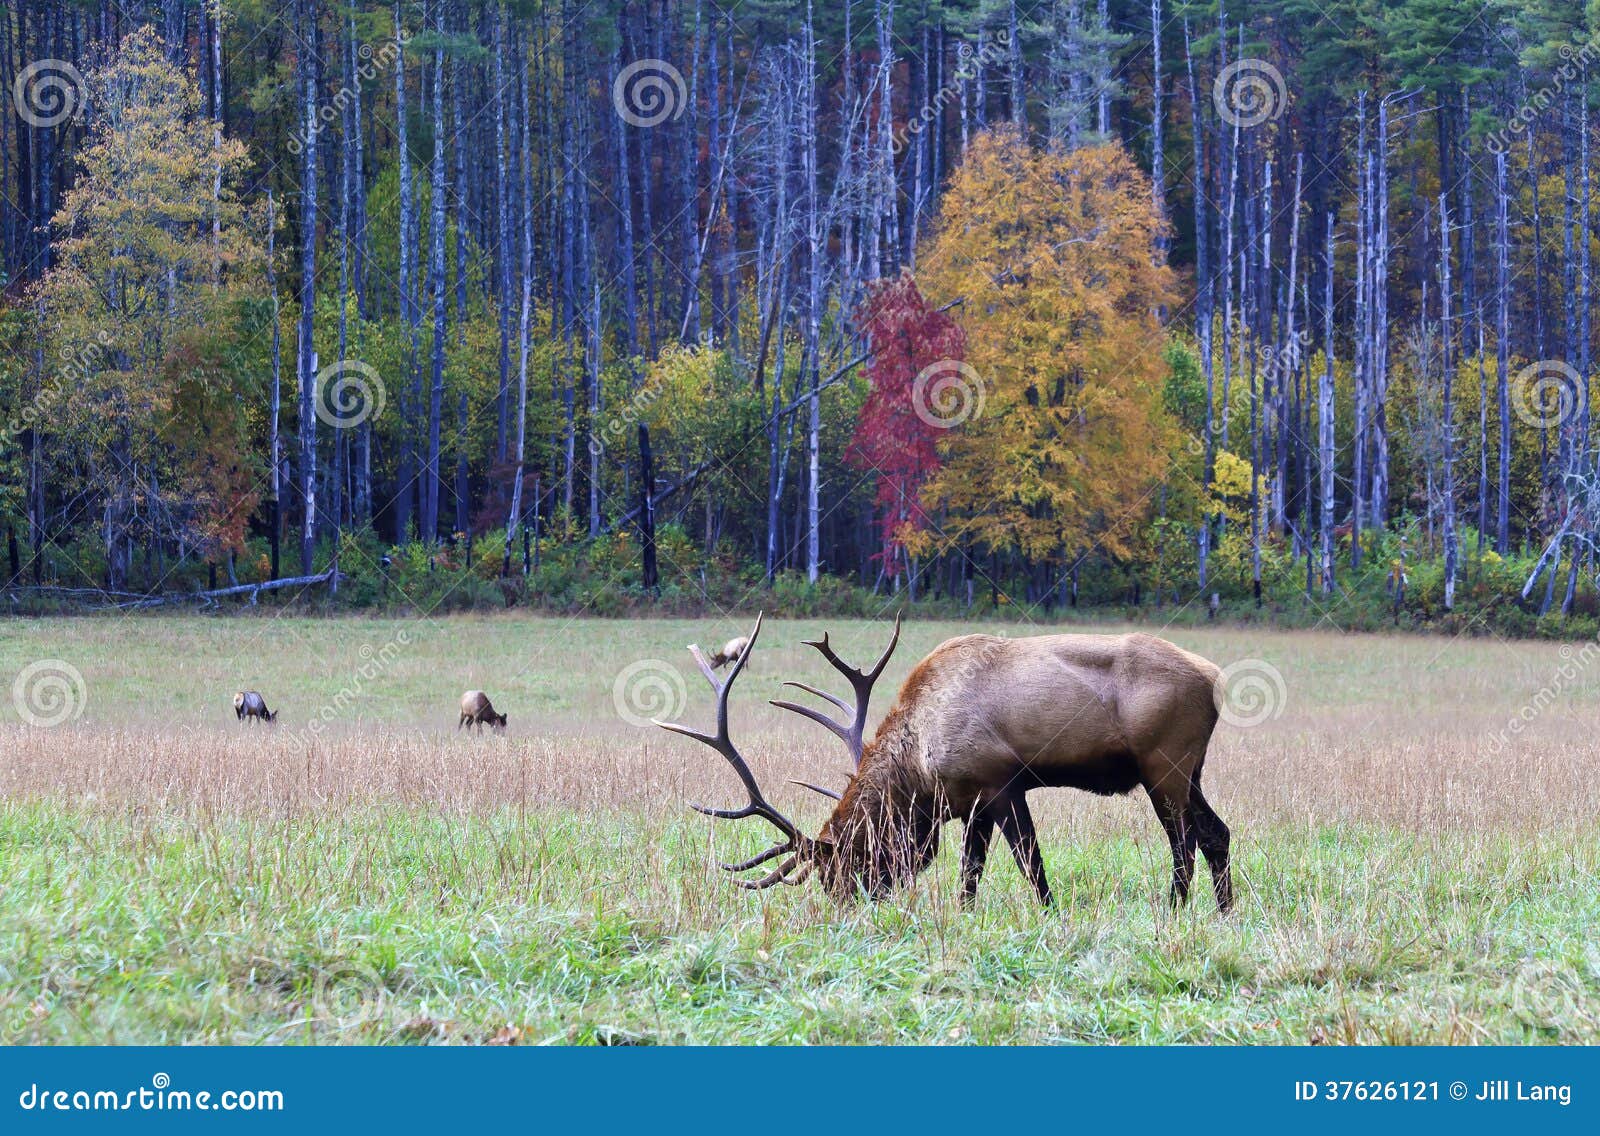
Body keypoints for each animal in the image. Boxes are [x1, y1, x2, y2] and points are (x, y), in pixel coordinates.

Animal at [655, 614, 1232, 911]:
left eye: (845, 863)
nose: (845, 907)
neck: (920, 772)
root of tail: (1215, 679)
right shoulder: (971, 801)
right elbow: (970, 874)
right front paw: (964, 914)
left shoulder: (1000, 784)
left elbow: (1031, 865)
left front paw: (1049, 913)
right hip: (1190, 772)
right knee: (1216, 833)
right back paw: (1223, 912)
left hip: (1164, 765)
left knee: (1183, 843)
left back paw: (1175, 910)